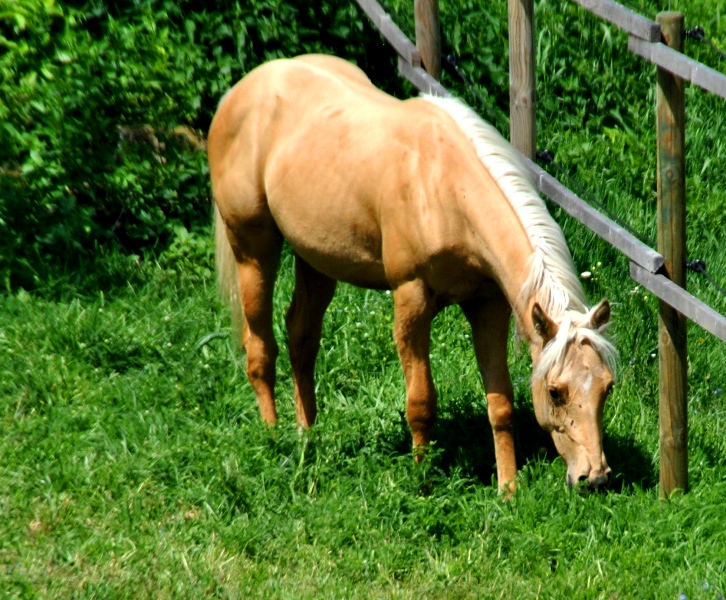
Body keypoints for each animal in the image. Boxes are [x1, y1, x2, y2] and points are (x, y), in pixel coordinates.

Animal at [207, 54, 618, 492]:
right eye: (556, 392)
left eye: (607, 386)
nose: (594, 477)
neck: (443, 187)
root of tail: (243, 90)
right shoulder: (412, 299)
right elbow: (420, 401)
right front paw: (422, 480)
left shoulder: (487, 306)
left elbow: (501, 403)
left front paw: (508, 489)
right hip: (253, 248)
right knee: (260, 346)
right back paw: (273, 438)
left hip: (316, 261)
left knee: (301, 337)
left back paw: (307, 436)